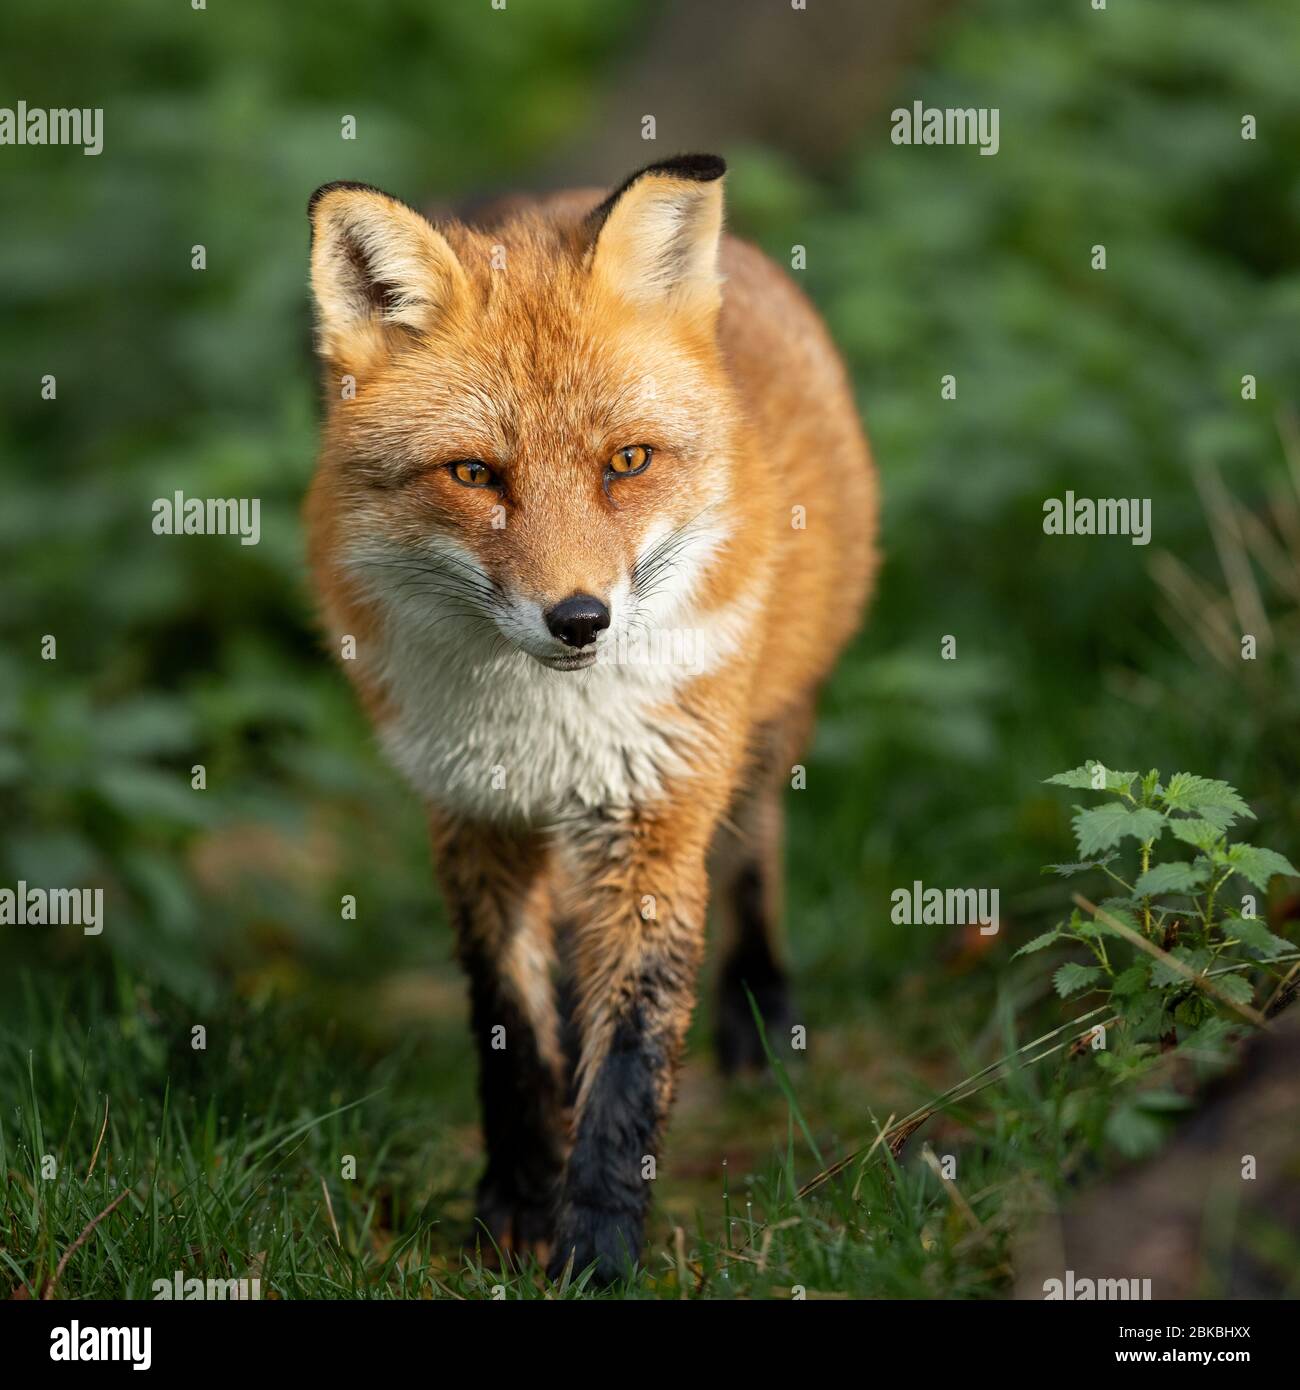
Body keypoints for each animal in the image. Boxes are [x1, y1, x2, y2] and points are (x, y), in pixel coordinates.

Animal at [304, 154, 878, 1284]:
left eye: (627, 462)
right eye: (474, 473)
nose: (579, 619)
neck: (545, 725)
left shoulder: (654, 824)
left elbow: (633, 1063)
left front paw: (600, 1248)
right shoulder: (474, 820)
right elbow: (512, 1034)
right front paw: (517, 1207)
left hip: (761, 735)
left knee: (755, 850)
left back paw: (760, 1008)